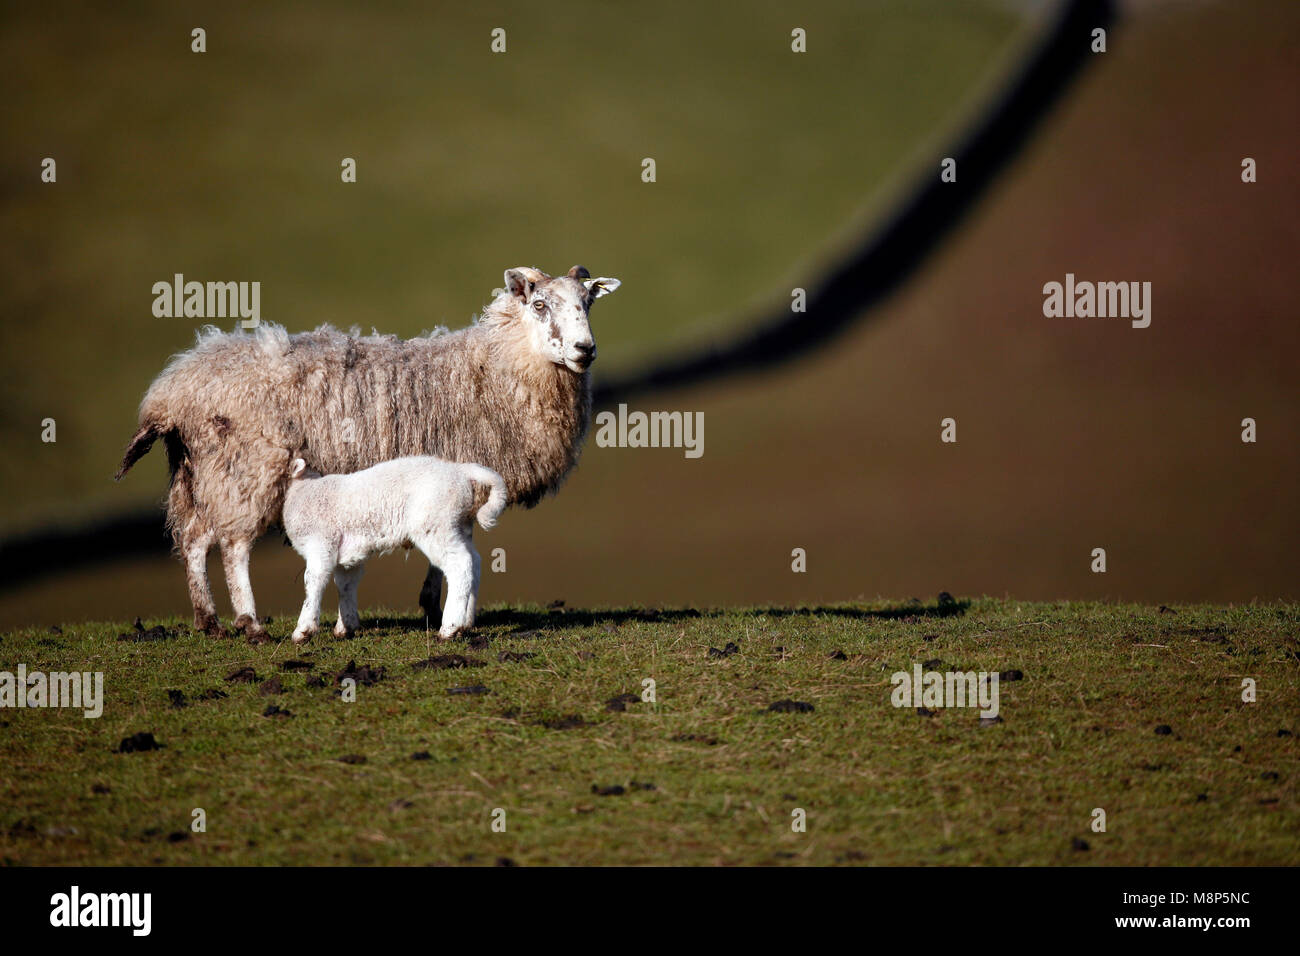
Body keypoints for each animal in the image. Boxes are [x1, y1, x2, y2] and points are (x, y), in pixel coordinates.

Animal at [282, 456, 506, 643]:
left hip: (435, 525)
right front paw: (345, 627)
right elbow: (345, 585)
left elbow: (313, 582)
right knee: (475, 561)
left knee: (460, 563)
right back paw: (467, 621)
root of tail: (459, 470)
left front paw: (303, 631)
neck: (304, 491)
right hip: (459, 525)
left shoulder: (321, 544)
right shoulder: (347, 554)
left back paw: (450, 628)